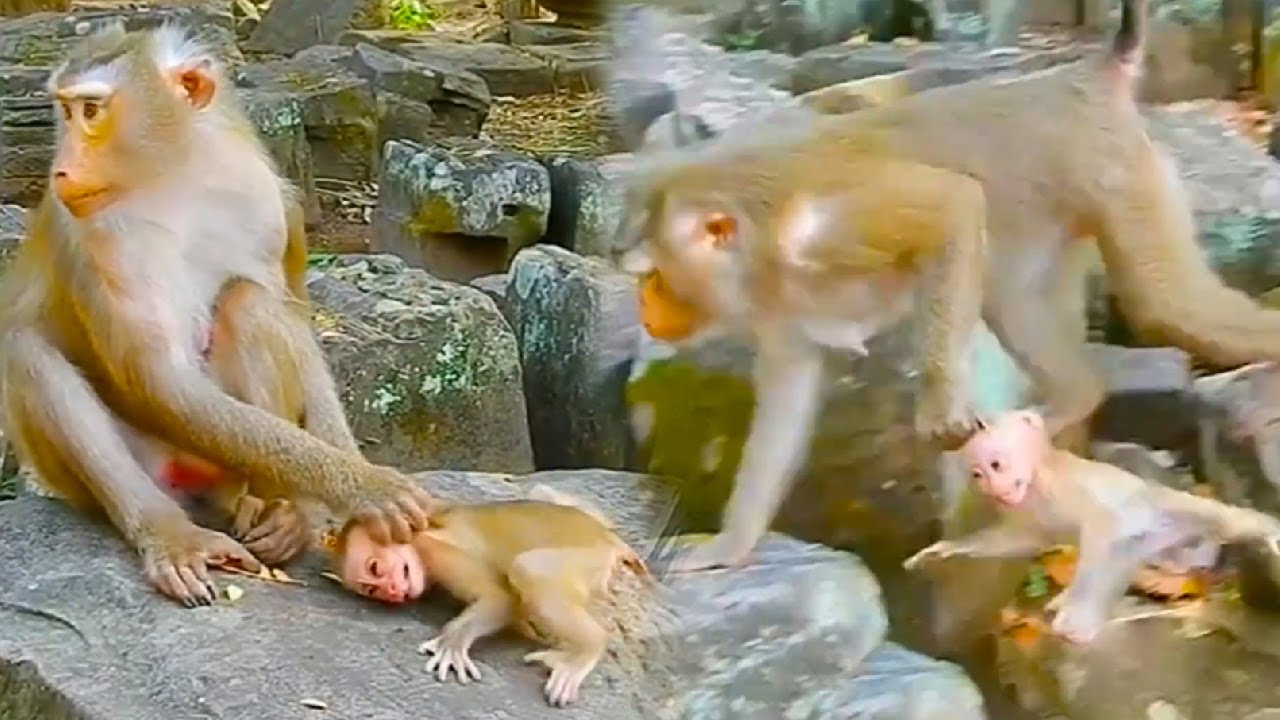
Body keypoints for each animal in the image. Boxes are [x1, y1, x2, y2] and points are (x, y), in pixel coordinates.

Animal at [0, 24, 435, 608]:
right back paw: (170, 533)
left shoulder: (268, 199)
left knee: (249, 303)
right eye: (64, 111)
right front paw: (364, 486)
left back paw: (282, 513)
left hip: (234, 470)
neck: (176, 175)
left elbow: (292, 315)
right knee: (28, 352)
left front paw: (341, 495)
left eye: (90, 111)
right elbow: (160, 381)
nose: (61, 167)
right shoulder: (97, 236)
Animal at [333, 483, 665, 708]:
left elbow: (501, 599)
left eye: (375, 568)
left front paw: (454, 641)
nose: (390, 591)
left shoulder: (436, 551)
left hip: (592, 560)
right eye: (372, 589)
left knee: (529, 570)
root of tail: (609, 538)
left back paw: (585, 649)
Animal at [903, 409, 1280, 644]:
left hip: (1165, 519)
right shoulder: (1027, 513)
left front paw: (1076, 616)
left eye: (996, 464)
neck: (1038, 481)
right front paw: (943, 550)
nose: (996, 488)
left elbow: (1101, 525)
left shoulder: (1064, 486)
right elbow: (1020, 540)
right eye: (977, 474)